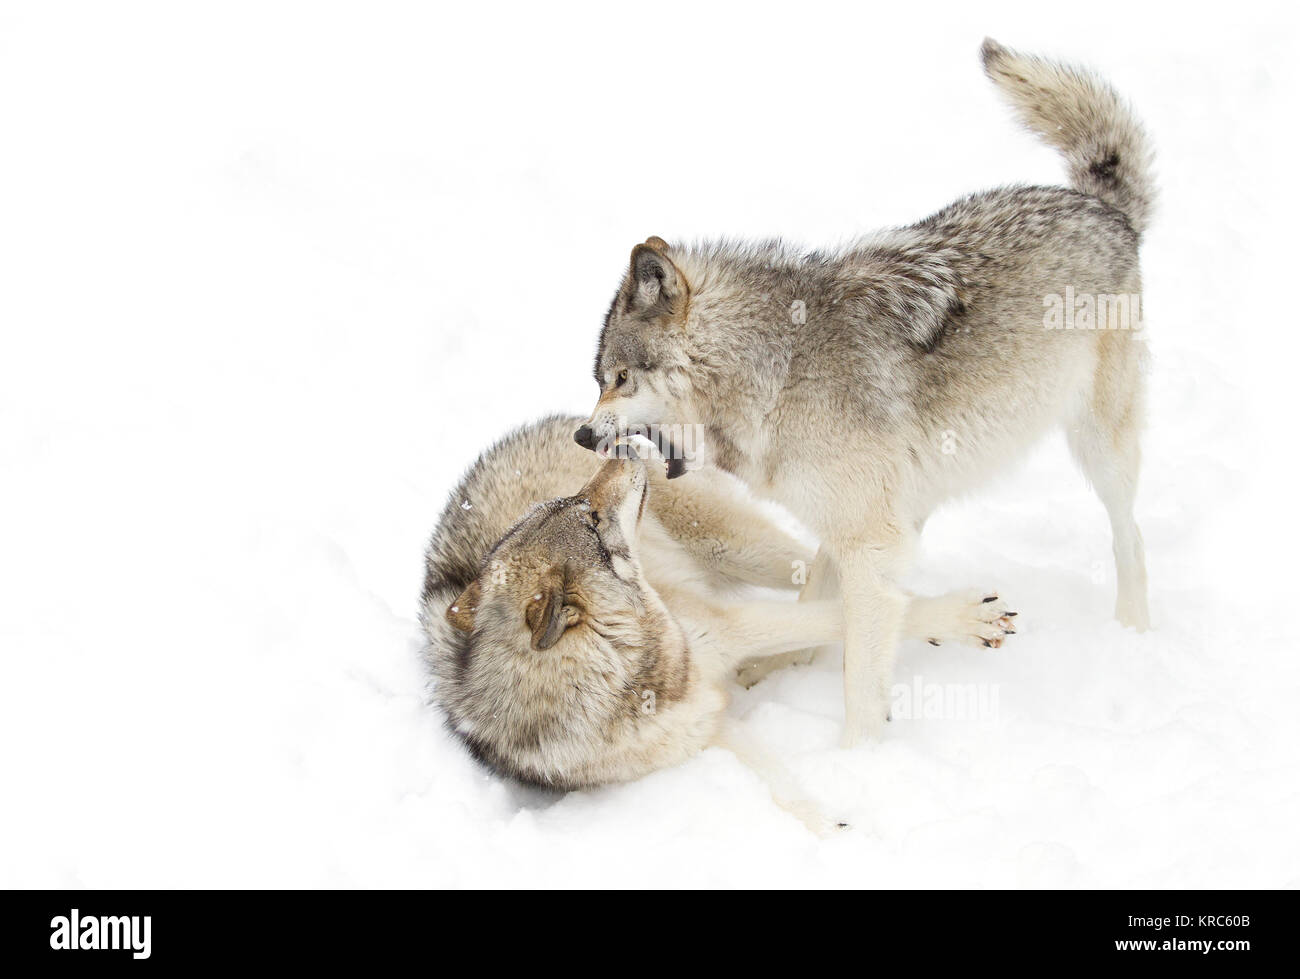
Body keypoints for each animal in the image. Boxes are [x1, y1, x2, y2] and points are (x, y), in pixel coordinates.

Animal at [420, 416, 1015, 807]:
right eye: (587, 513)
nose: (621, 447)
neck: (635, 677)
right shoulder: (708, 723)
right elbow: (779, 786)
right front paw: (834, 826)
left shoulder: (730, 628)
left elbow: (844, 616)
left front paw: (968, 618)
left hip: (740, 551)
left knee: (846, 574)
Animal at [575, 39, 1155, 745]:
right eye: (599, 381)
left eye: (617, 379)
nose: (582, 434)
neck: (779, 370)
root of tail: (1103, 208)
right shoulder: (851, 530)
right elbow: (816, 609)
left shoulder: (872, 541)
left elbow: (859, 673)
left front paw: (858, 757)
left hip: (1098, 446)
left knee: (1131, 536)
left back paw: (1133, 630)